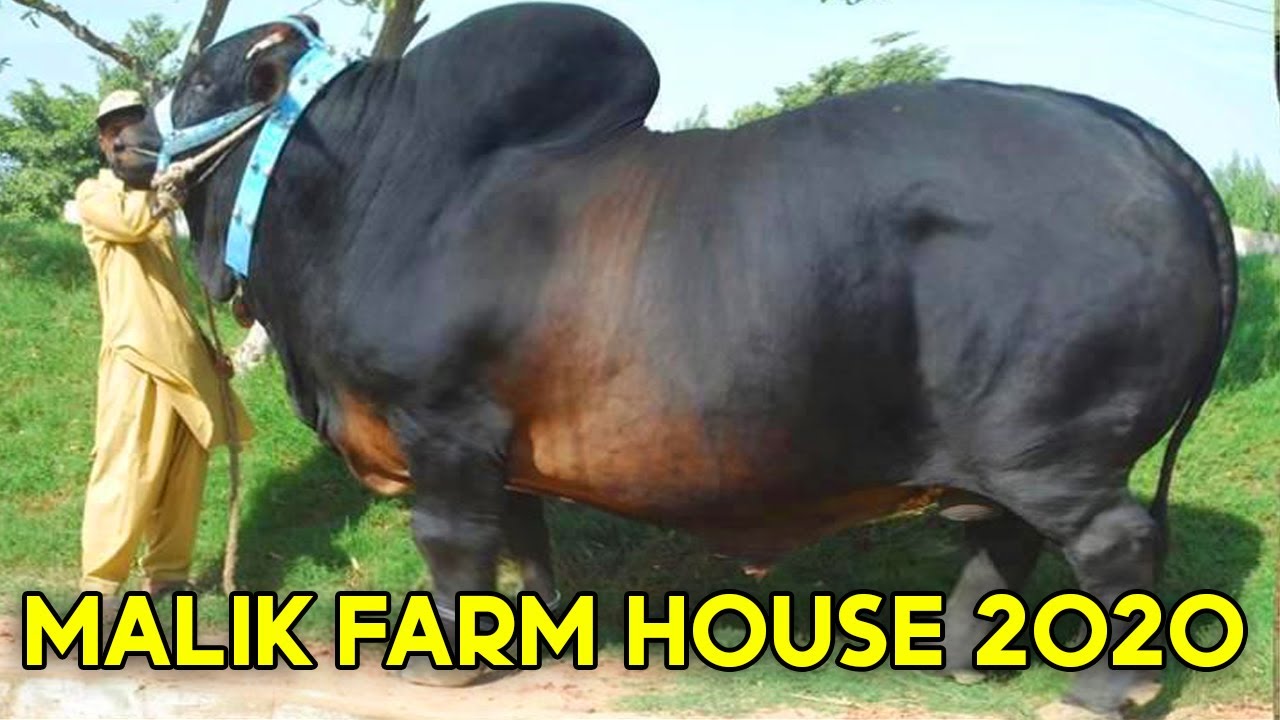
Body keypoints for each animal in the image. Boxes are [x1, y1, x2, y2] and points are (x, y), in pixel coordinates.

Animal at [108, 4, 1237, 718]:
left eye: (199, 80)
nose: (126, 147)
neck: (362, 188)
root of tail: (1143, 141)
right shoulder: (502, 446)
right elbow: (526, 545)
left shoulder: (443, 427)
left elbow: (453, 543)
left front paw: (443, 668)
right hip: (1003, 453)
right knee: (1001, 542)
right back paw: (961, 659)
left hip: (1053, 442)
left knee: (1110, 544)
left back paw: (1097, 690)